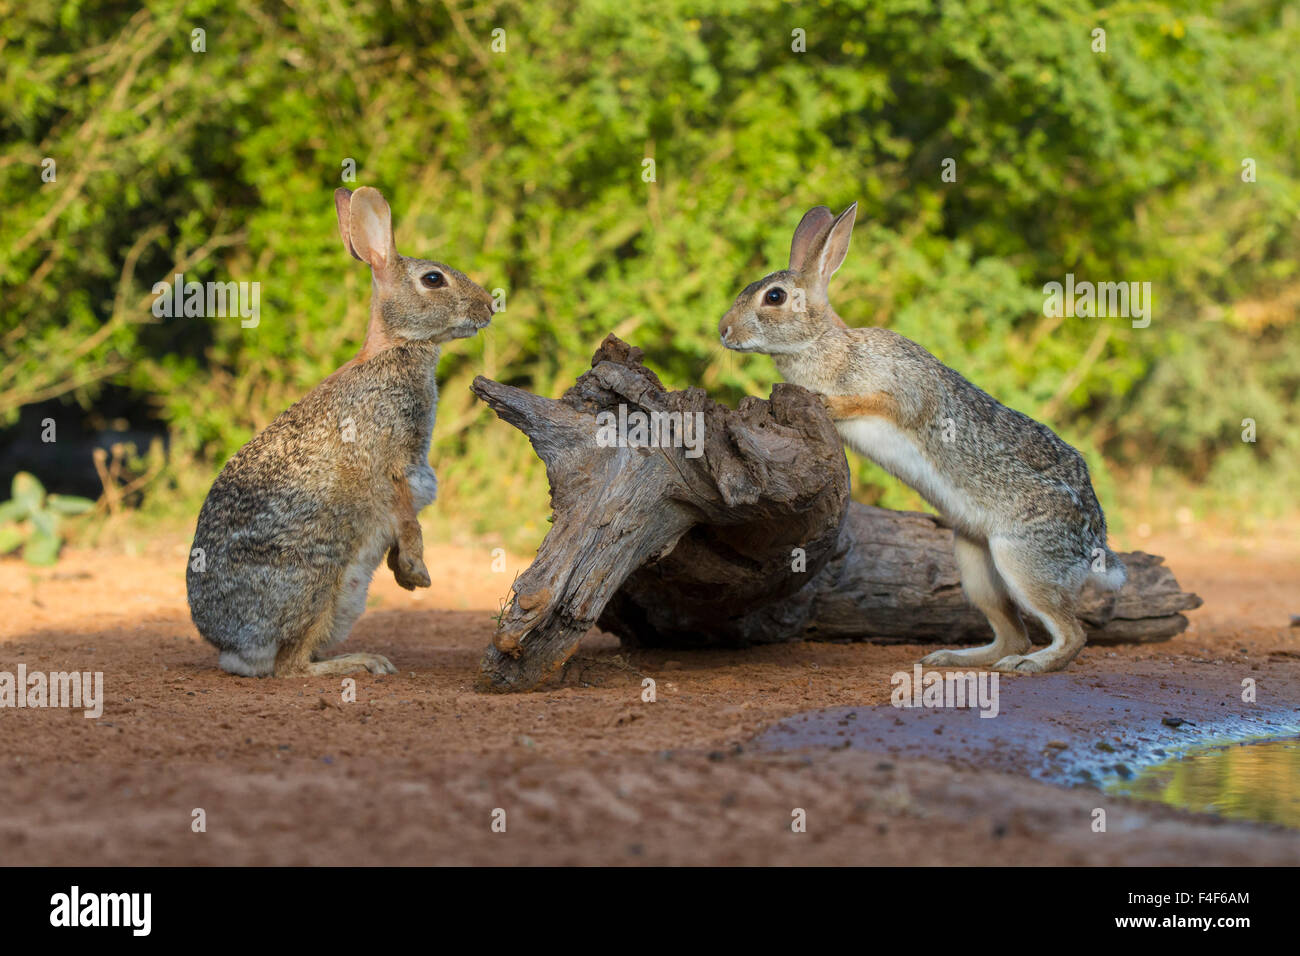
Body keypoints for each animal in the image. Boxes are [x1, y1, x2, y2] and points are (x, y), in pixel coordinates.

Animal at [186, 186, 495, 677]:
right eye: (433, 280)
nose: (489, 306)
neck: (397, 346)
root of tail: (233, 648)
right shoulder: (392, 466)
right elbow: (408, 519)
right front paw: (418, 572)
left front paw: (406, 576)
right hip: (317, 579)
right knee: (291, 666)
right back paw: (363, 662)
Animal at [719, 203, 1125, 673]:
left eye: (775, 297)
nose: (723, 330)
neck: (823, 343)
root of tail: (1094, 544)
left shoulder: (902, 389)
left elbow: (880, 402)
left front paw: (823, 401)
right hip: (974, 561)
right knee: (1012, 635)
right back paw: (951, 657)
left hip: (1023, 558)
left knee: (1072, 634)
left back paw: (1029, 666)